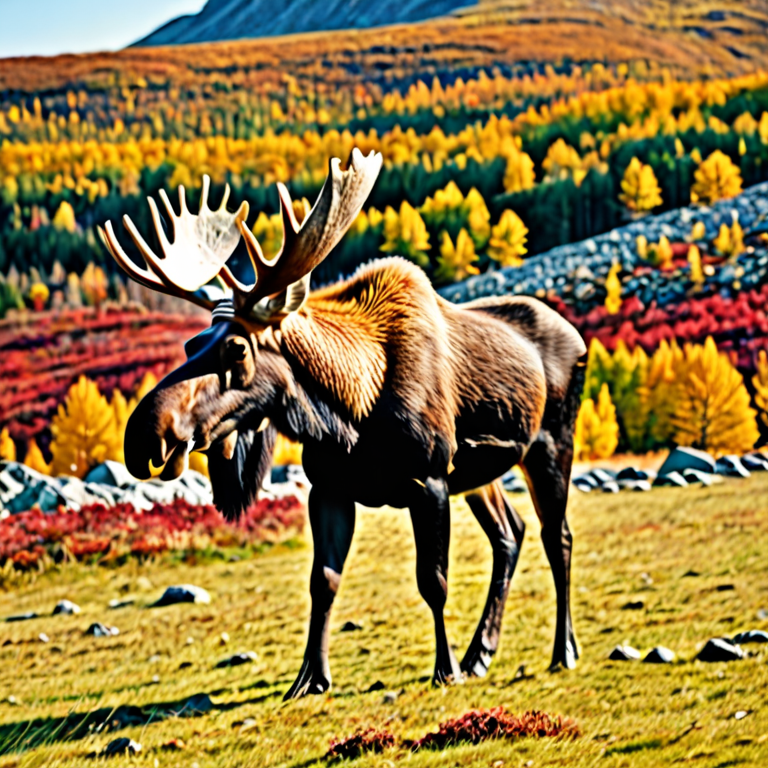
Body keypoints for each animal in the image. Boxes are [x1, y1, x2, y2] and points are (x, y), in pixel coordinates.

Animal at [99, 148, 587, 699]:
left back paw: (560, 651)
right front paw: (309, 677)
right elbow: (324, 581)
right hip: (479, 471)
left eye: (237, 348)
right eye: (190, 344)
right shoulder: (330, 488)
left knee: (557, 537)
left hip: (550, 445)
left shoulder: (429, 479)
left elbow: (434, 580)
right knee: (510, 533)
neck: (349, 418)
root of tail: (578, 337)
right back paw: (481, 651)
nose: (143, 435)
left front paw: (444, 669)